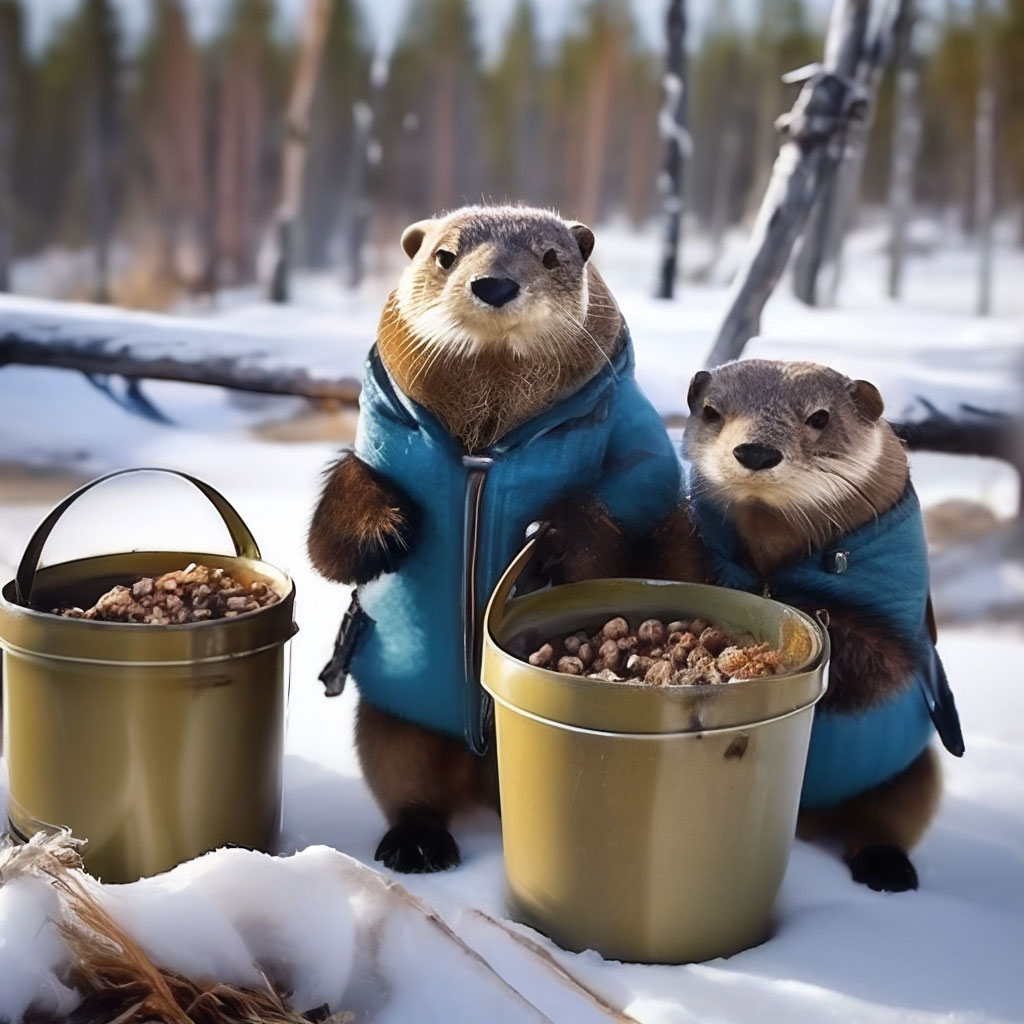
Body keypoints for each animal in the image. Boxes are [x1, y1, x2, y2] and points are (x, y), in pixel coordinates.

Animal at [308, 205, 681, 873]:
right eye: (445, 255)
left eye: (552, 256)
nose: (495, 284)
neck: (488, 439)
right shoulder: (371, 445)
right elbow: (333, 536)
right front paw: (389, 529)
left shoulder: (639, 438)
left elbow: (641, 493)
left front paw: (553, 537)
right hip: (391, 721)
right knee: (405, 778)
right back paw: (416, 844)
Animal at [675, 359, 964, 892]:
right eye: (710, 410)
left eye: (819, 417)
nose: (756, 451)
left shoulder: (900, 643)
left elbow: (868, 667)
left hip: (918, 773)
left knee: (885, 822)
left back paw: (887, 869)